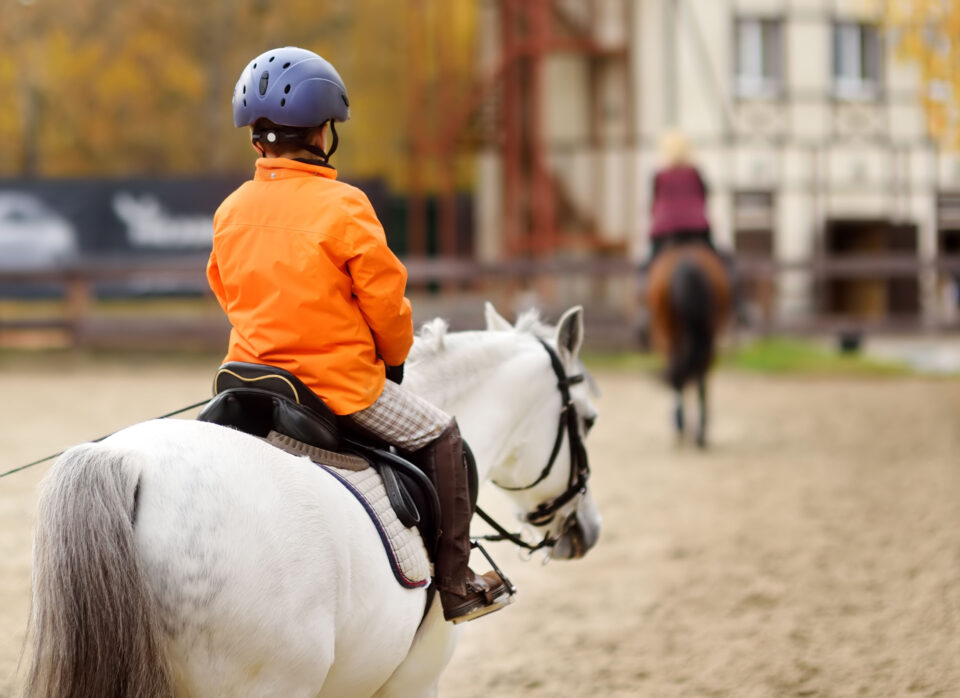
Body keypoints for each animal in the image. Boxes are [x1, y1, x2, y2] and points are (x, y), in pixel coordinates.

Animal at [646, 244, 731, 448]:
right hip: (706, 336)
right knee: (697, 373)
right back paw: (698, 431)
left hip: (670, 332)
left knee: (682, 373)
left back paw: (684, 426)